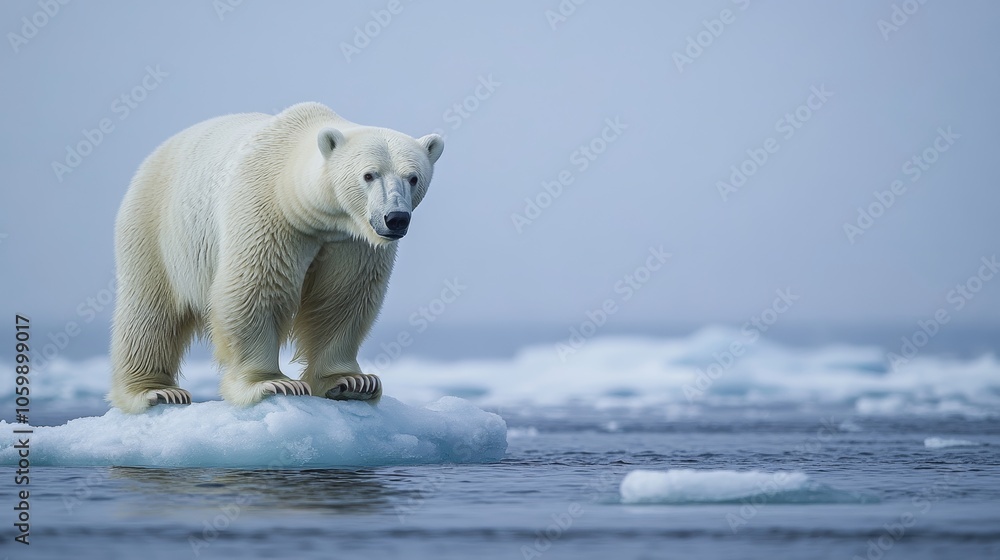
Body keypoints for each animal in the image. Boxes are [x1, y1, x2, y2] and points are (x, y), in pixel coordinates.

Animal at [107, 102, 444, 414]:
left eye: (413, 177)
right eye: (369, 175)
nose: (395, 218)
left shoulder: (351, 242)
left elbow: (342, 299)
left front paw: (352, 383)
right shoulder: (267, 212)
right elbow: (256, 290)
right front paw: (272, 383)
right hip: (156, 226)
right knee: (149, 310)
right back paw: (155, 391)